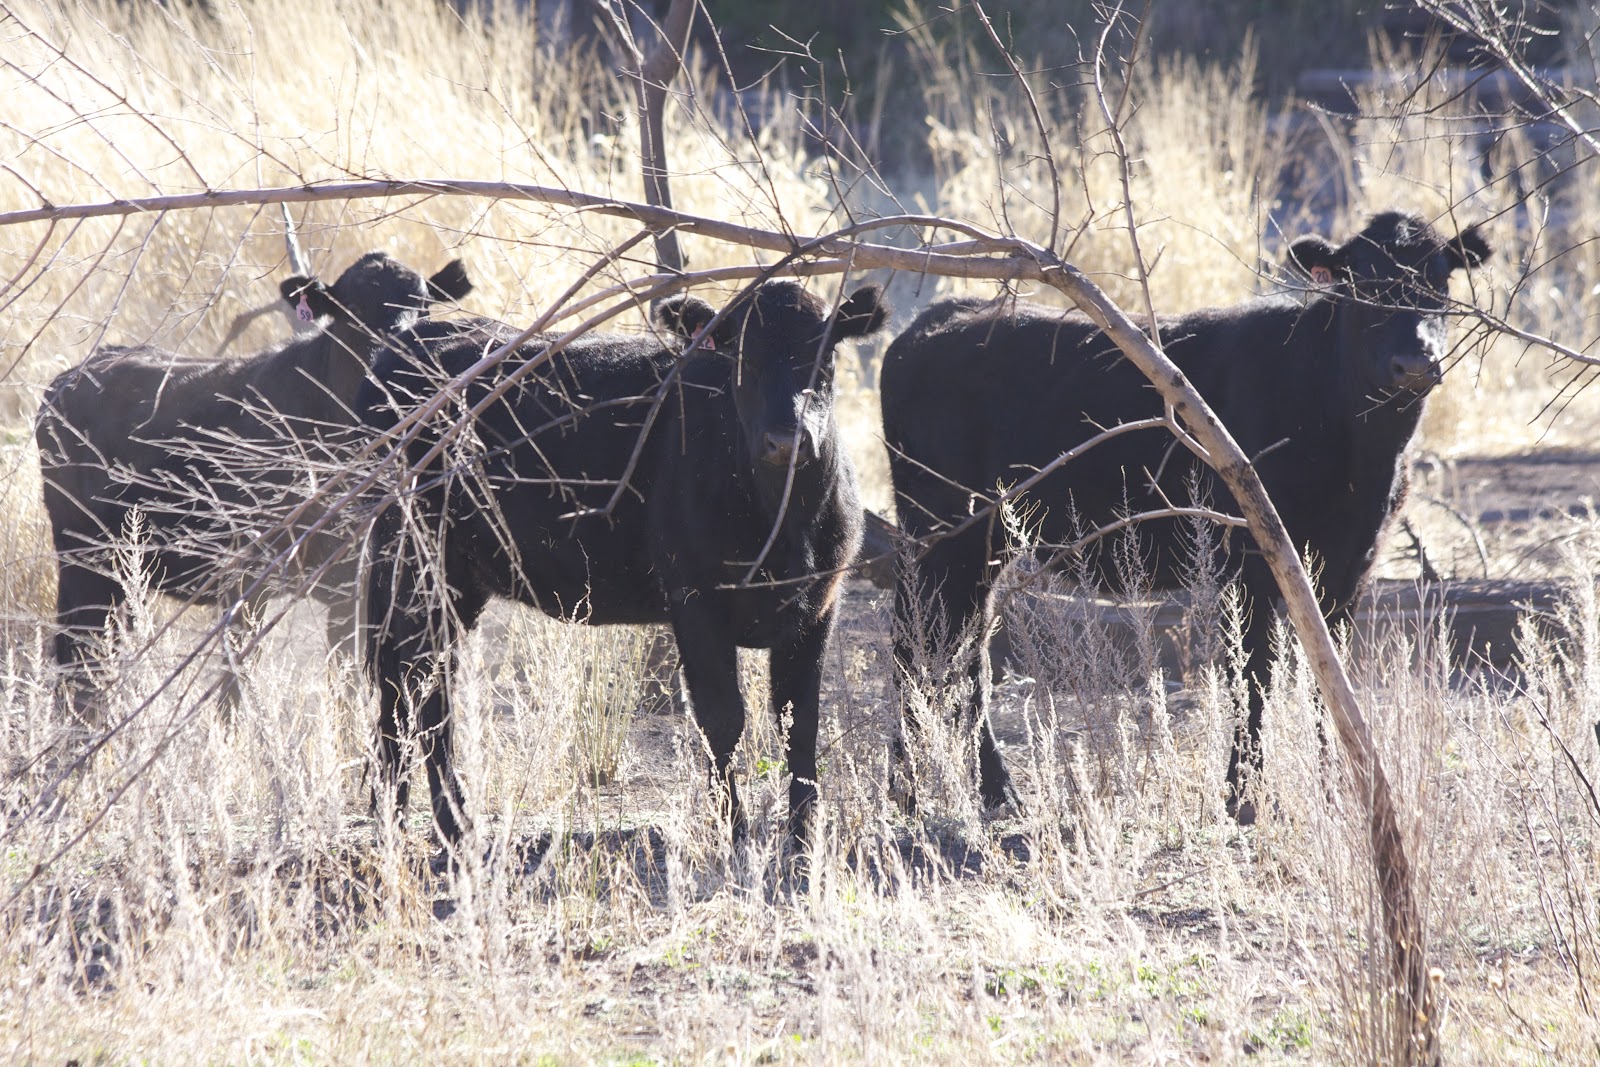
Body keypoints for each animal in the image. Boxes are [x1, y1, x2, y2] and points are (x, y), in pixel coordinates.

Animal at [35, 251, 475, 715]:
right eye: (351, 310)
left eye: (424, 308)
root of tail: (72, 376)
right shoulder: (245, 577)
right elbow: (235, 686)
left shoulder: (352, 587)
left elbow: (346, 686)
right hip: (84, 557)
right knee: (75, 658)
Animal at [359, 279, 889, 852]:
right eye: (741, 358)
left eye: (825, 357)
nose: (786, 441)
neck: (781, 521)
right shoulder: (695, 600)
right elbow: (722, 720)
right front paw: (735, 834)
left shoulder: (819, 606)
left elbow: (801, 723)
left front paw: (804, 839)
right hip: (417, 566)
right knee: (416, 686)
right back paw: (442, 825)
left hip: (452, 584)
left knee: (415, 685)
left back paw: (414, 820)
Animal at [879, 211, 1491, 821]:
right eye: (1362, 283)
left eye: (1440, 281)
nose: (1414, 362)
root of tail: (931, 320)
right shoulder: (1250, 555)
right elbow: (1254, 674)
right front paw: (1243, 799)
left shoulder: (1351, 563)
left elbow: (1327, 676)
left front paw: (1340, 790)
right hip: (939, 531)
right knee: (916, 644)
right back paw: (907, 795)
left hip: (984, 543)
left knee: (966, 652)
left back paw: (991, 791)